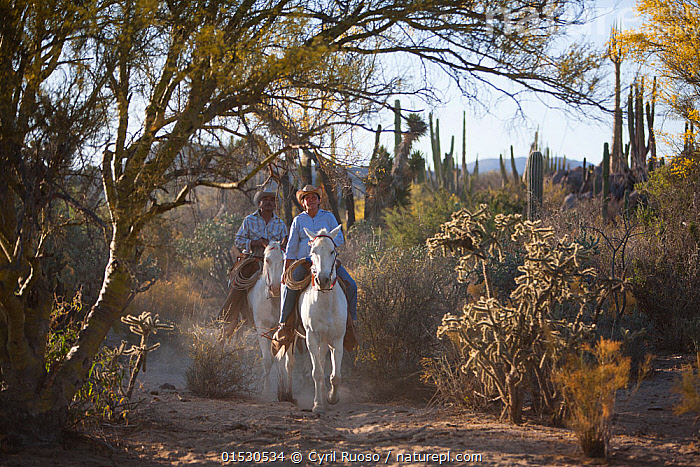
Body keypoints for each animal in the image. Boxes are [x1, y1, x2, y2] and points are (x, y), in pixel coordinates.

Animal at [277, 226, 347, 415]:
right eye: (313, 251)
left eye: (332, 251)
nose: (322, 279)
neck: (325, 304)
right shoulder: (312, 337)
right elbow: (317, 372)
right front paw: (318, 405)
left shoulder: (337, 339)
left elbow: (336, 375)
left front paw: (332, 398)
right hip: (293, 335)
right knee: (290, 363)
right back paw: (288, 395)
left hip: (324, 341)